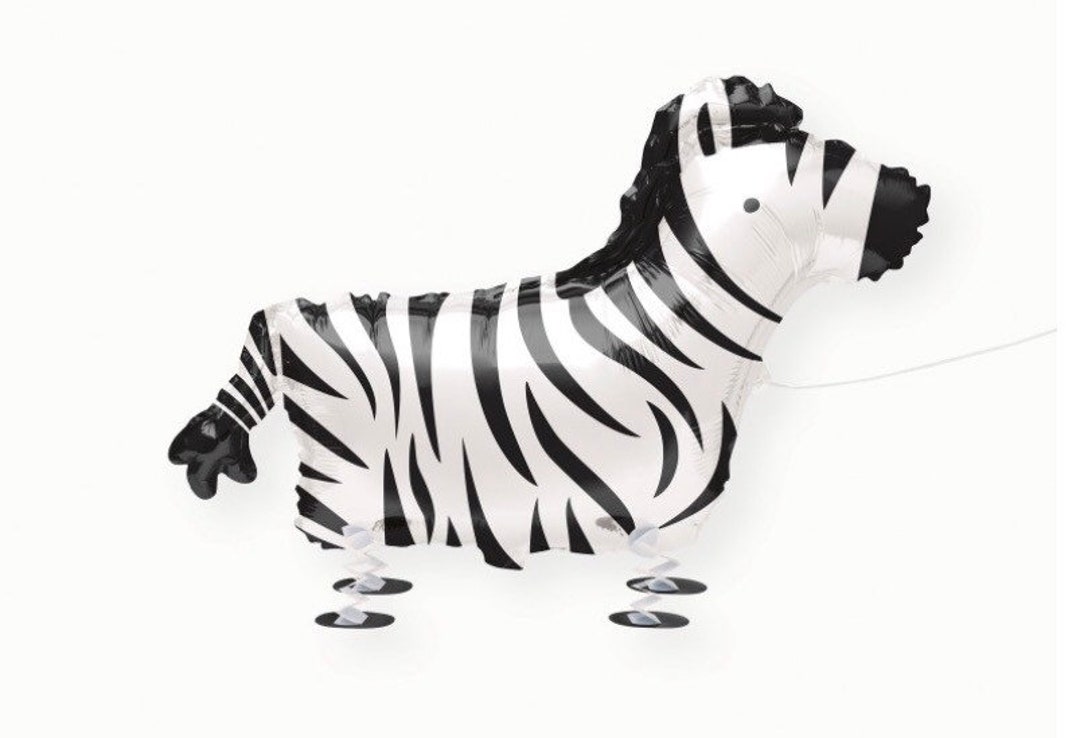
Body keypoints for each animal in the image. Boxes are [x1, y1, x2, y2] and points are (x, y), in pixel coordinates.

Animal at [169, 76, 930, 629]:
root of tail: (283, 319)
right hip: (344, 477)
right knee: (341, 547)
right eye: (825, 159)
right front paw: (649, 619)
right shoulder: (648, 502)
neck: (679, 323)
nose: (918, 195)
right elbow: (650, 577)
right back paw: (363, 609)